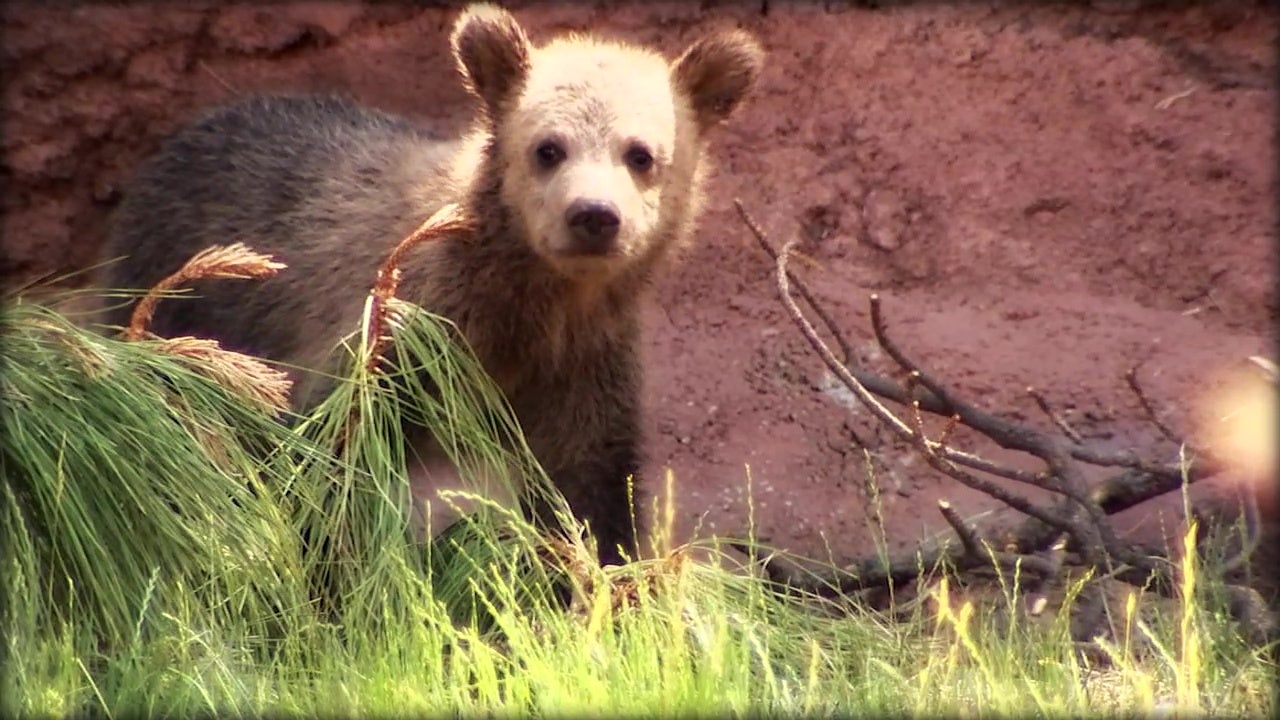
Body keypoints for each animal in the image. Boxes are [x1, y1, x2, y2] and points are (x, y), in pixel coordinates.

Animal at [97, 3, 765, 566]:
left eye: (641, 153)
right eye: (548, 148)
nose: (594, 215)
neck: (525, 308)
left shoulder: (580, 369)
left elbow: (588, 490)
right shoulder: (393, 339)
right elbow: (330, 463)